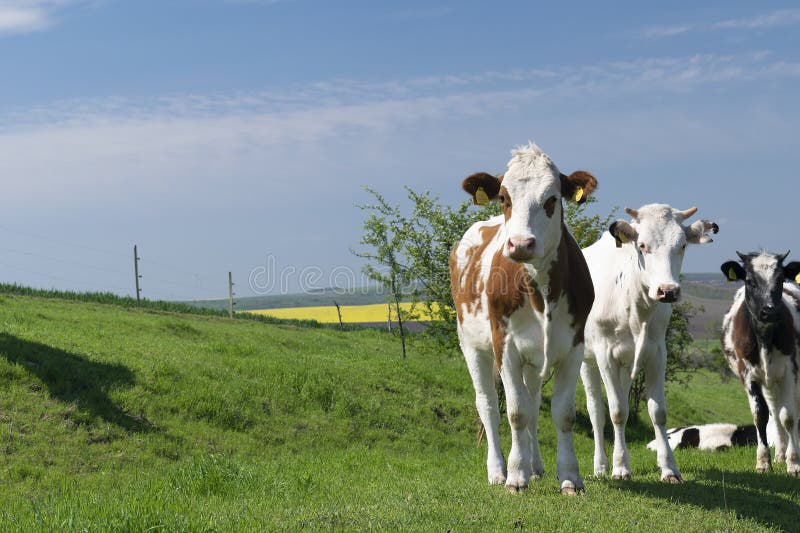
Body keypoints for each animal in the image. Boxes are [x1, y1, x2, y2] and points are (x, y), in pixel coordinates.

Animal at [449, 143, 598, 494]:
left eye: (552, 199)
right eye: (504, 198)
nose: (520, 243)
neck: (540, 286)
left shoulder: (573, 347)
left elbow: (561, 414)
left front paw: (569, 476)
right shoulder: (506, 346)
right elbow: (515, 412)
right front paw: (516, 476)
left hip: (534, 359)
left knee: (532, 403)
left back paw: (536, 466)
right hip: (472, 345)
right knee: (489, 405)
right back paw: (497, 470)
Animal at [579, 204, 718, 483]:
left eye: (682, 245)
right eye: (642, 245)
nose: (669, 290)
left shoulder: (656, 351)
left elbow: (658, 412)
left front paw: (669, 468)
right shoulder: (605, 354)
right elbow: (616, 412)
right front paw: (620, 467)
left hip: (626, 363)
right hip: (586, 360)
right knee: (596, 411)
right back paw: (601, 466)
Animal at [720, 251, 800, 475]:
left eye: (780, 279)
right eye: (749, 281)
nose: (769, 311)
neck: (764, 338)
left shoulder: (790, 370)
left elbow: (789, 416)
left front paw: (794, 462)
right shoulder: (748, 375)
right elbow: (760, 416)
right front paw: (764, 461)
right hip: (769, 382)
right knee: (774, 410)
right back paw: (780, 454)